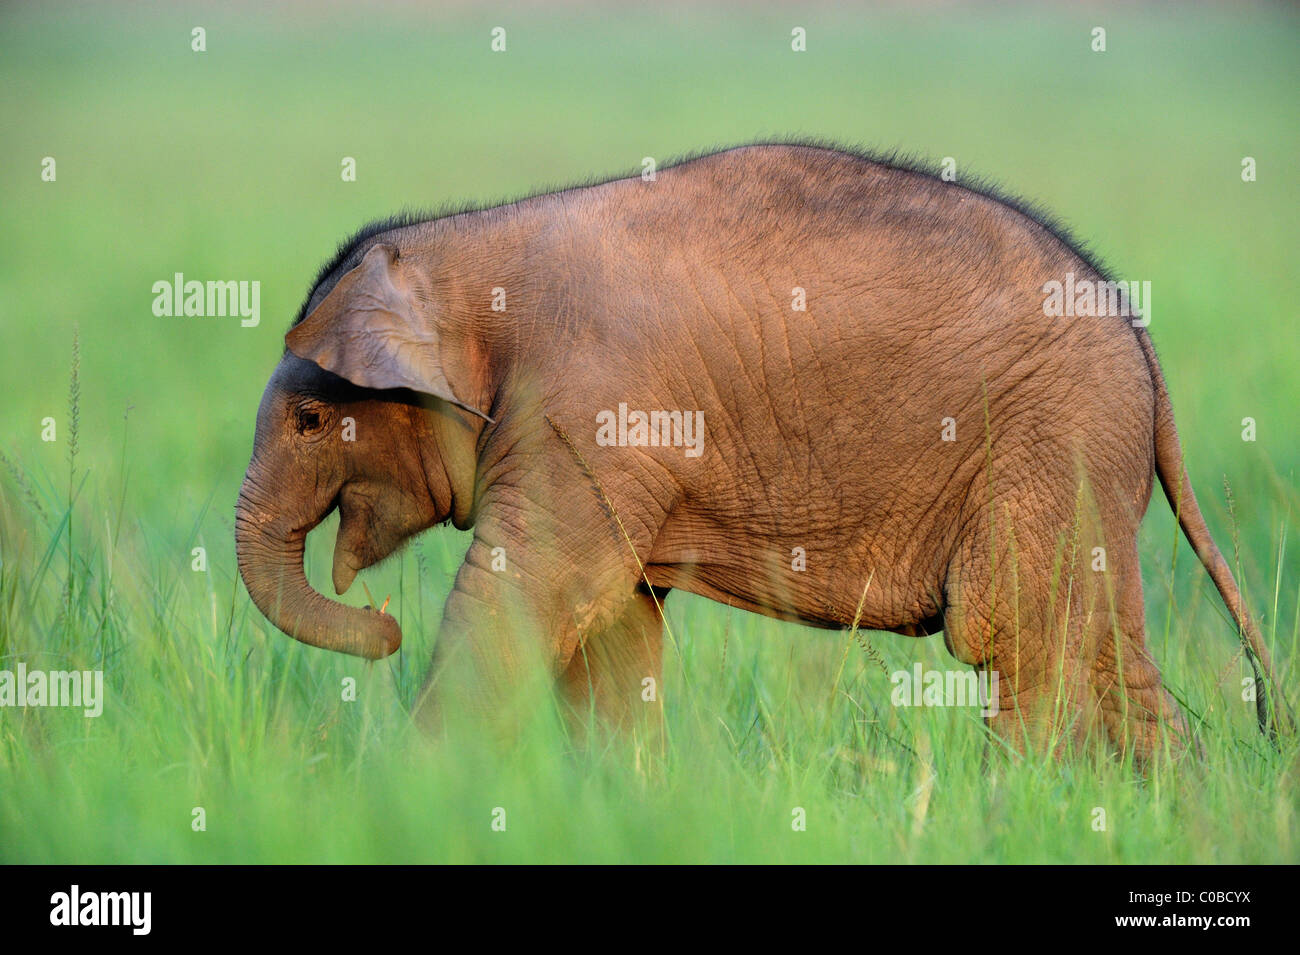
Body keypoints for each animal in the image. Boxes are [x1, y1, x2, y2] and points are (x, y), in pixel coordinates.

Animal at [235, 141, 1291, 761]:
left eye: (310, 422)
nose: (382, 624)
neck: (459, 249)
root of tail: (1143, 344)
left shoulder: (587, 417)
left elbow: (520, 599)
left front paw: (405, 793)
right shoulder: (603, 451)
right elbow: (615, 631)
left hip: (1049, 445)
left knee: (1022, 644)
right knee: (1097, 658)